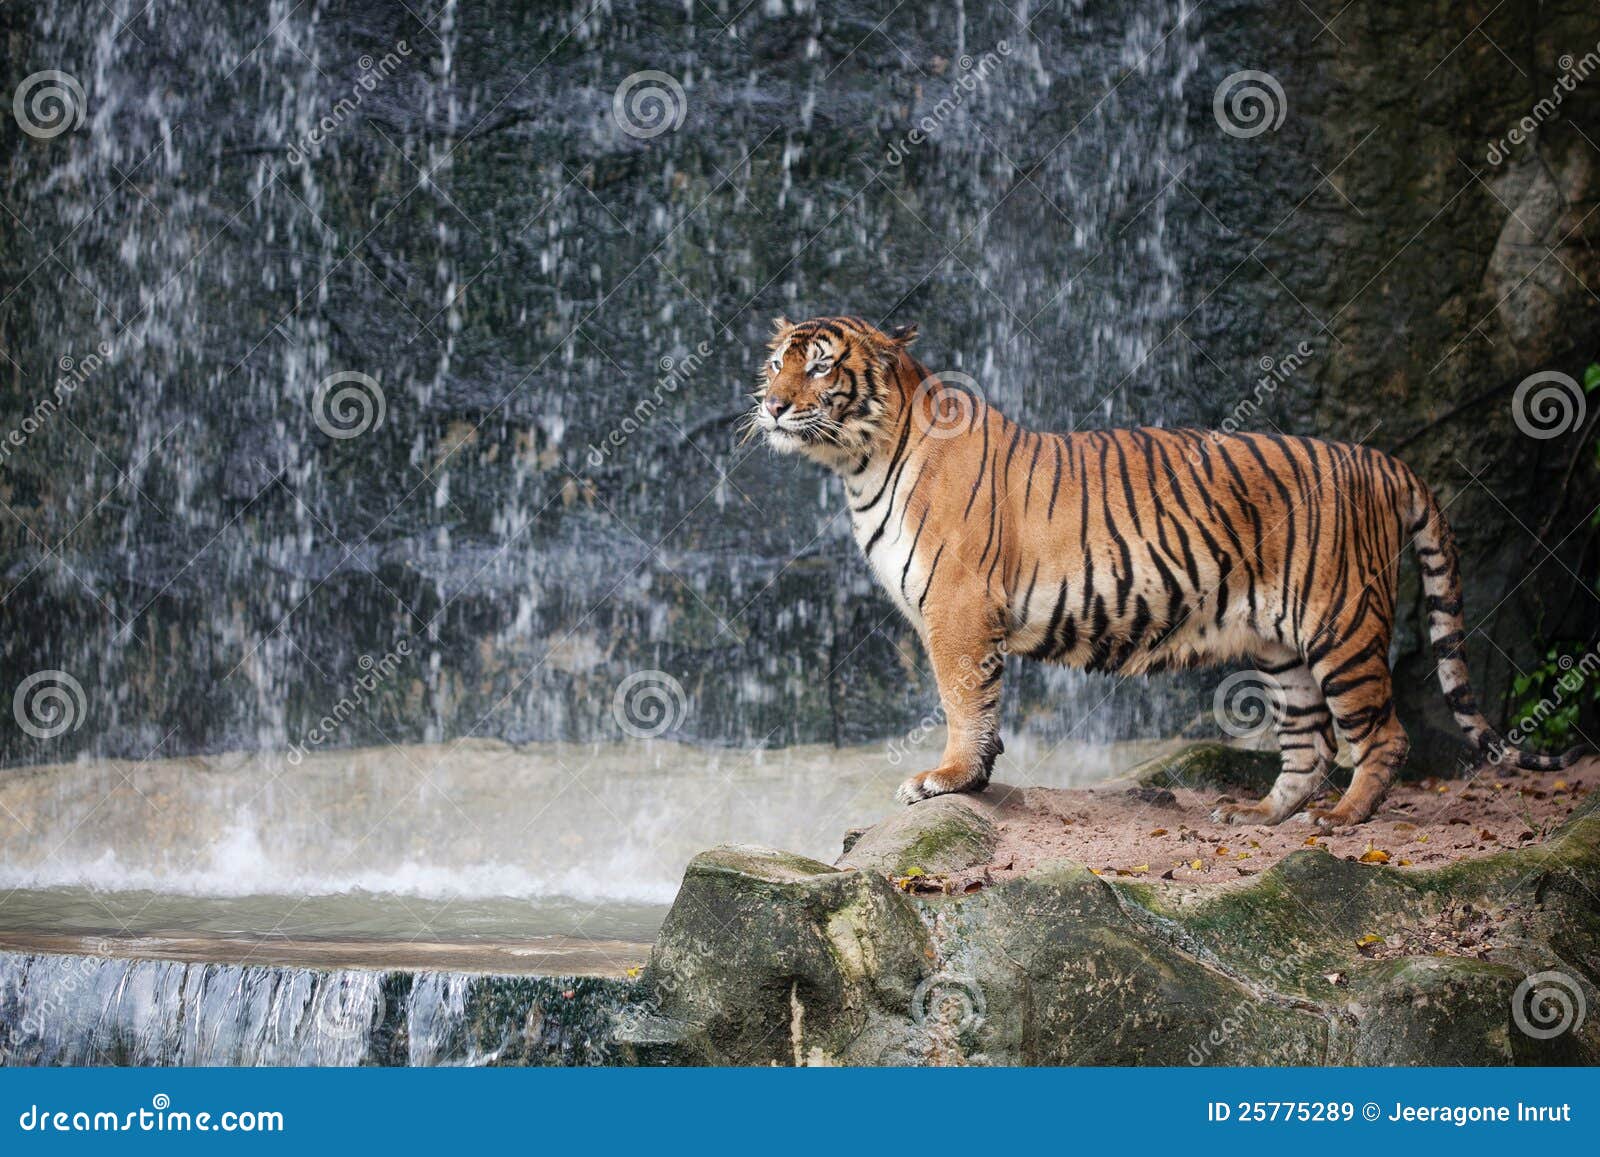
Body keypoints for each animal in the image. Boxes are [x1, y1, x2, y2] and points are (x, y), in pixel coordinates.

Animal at [749, 315, 1585, 828]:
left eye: (820, 367)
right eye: (774, 362)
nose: (770, 404)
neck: (859, 464)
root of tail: (1380, 459)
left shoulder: (957, 609)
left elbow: (962, 702)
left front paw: (946, 778)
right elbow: (984, 706)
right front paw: (977, 777)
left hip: (1342, 625)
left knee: (1384, 735)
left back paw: (1344, 817)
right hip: (1281, 647)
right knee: (1308, 744)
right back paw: (1260, 814)